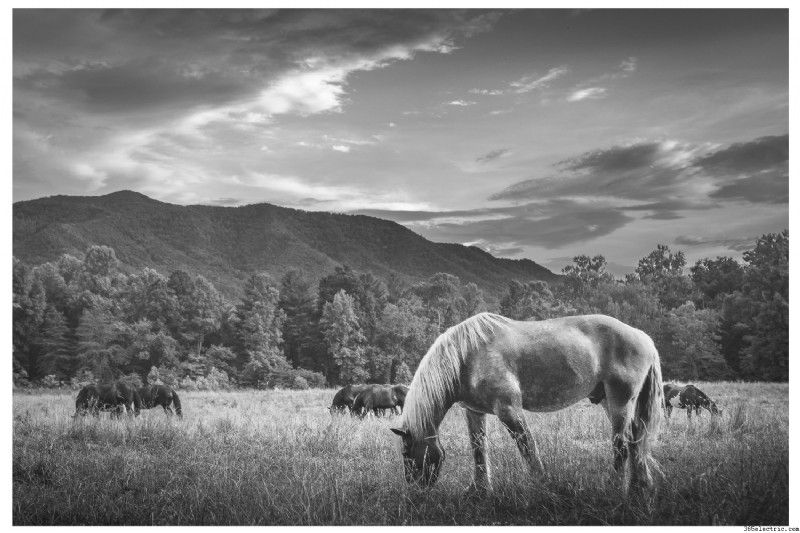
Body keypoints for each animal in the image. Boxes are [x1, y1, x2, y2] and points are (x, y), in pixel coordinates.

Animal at [390, 312, 664, 490]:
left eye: (406, 452)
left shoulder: (509, 410)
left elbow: (528, 448)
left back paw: (613, 488)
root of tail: (644, 337)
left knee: (621, 444)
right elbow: (478, 449)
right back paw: (640, 486)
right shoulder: (474, 412)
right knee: (635, 440)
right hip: (610, 401)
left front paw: (543, 487)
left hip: (620, 401)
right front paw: (479, 491)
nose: (415, 491)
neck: (466, 355)